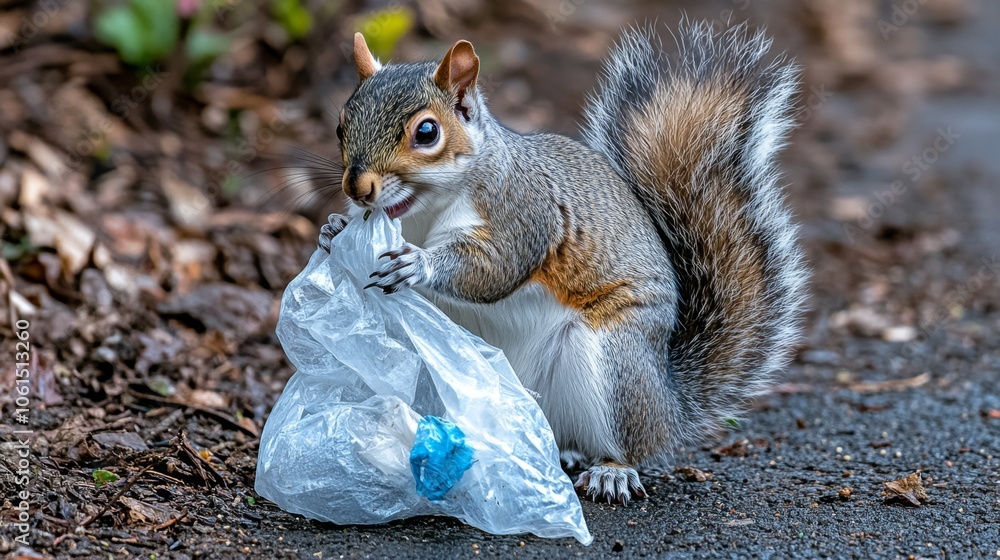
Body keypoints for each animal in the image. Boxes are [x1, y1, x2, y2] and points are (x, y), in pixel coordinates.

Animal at [317, 21, 807, 504]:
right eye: (341, 126)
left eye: (426, 133)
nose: (358, 188)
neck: (420, 214)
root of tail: (668, 405)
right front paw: (334, 229)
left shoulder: (523, 211)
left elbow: (494, 269)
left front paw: (418, 265)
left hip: (615, 362)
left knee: (627, 442)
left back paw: (611, 471)